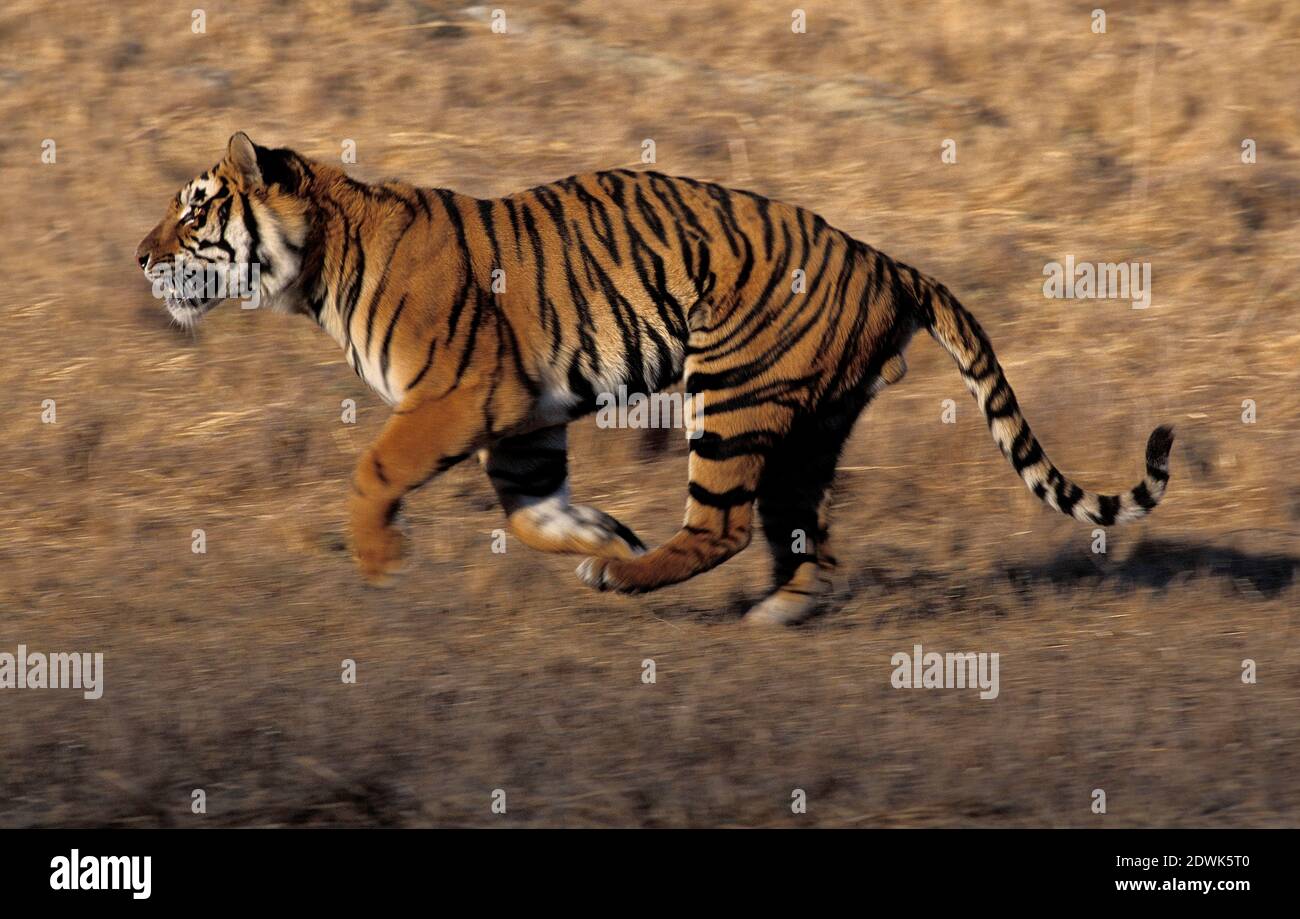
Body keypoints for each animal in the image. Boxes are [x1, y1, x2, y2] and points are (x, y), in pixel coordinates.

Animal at [135, 132, 1174, 625]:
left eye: (192, 212)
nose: (139, 256)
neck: (319, 265)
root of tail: (884, 258)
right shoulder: (524, 420)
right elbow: (528, 509)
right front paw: (599, 528)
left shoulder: (465, 396)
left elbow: (373, 470)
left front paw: (381, 562)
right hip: (812, 419)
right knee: (801, 532)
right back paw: (776, 607)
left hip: (734, 388)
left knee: (721, 524)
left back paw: (628, 579)